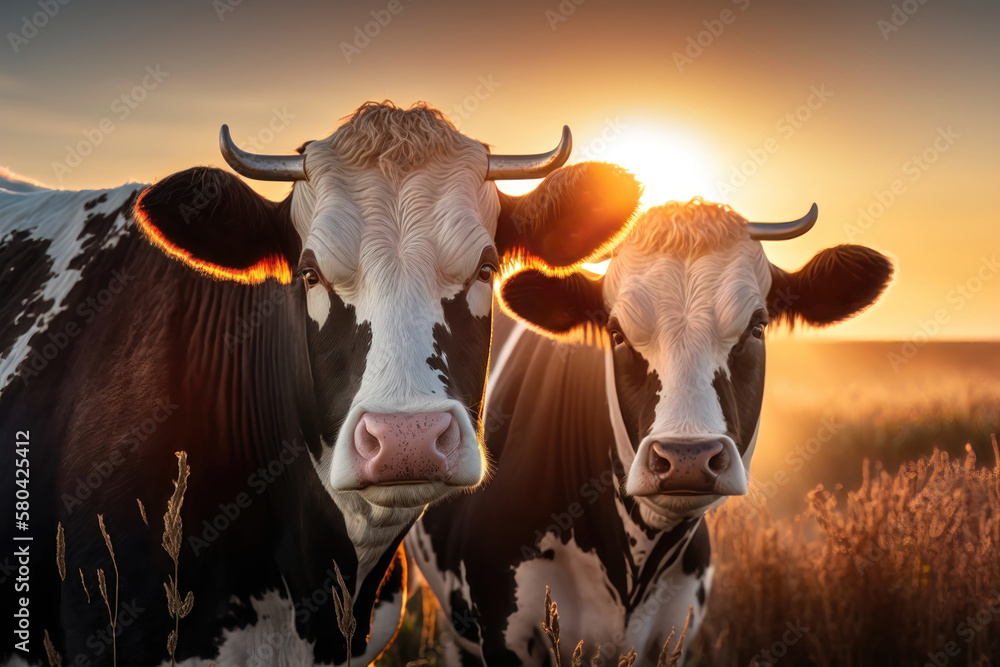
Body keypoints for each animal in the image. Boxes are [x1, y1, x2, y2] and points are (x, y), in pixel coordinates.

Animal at [409, 196, 894, 665]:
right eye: (616, 333)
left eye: (757, 328)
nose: (687, 458)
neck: (633, 570)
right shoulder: (503, 629)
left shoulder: (675, 629)